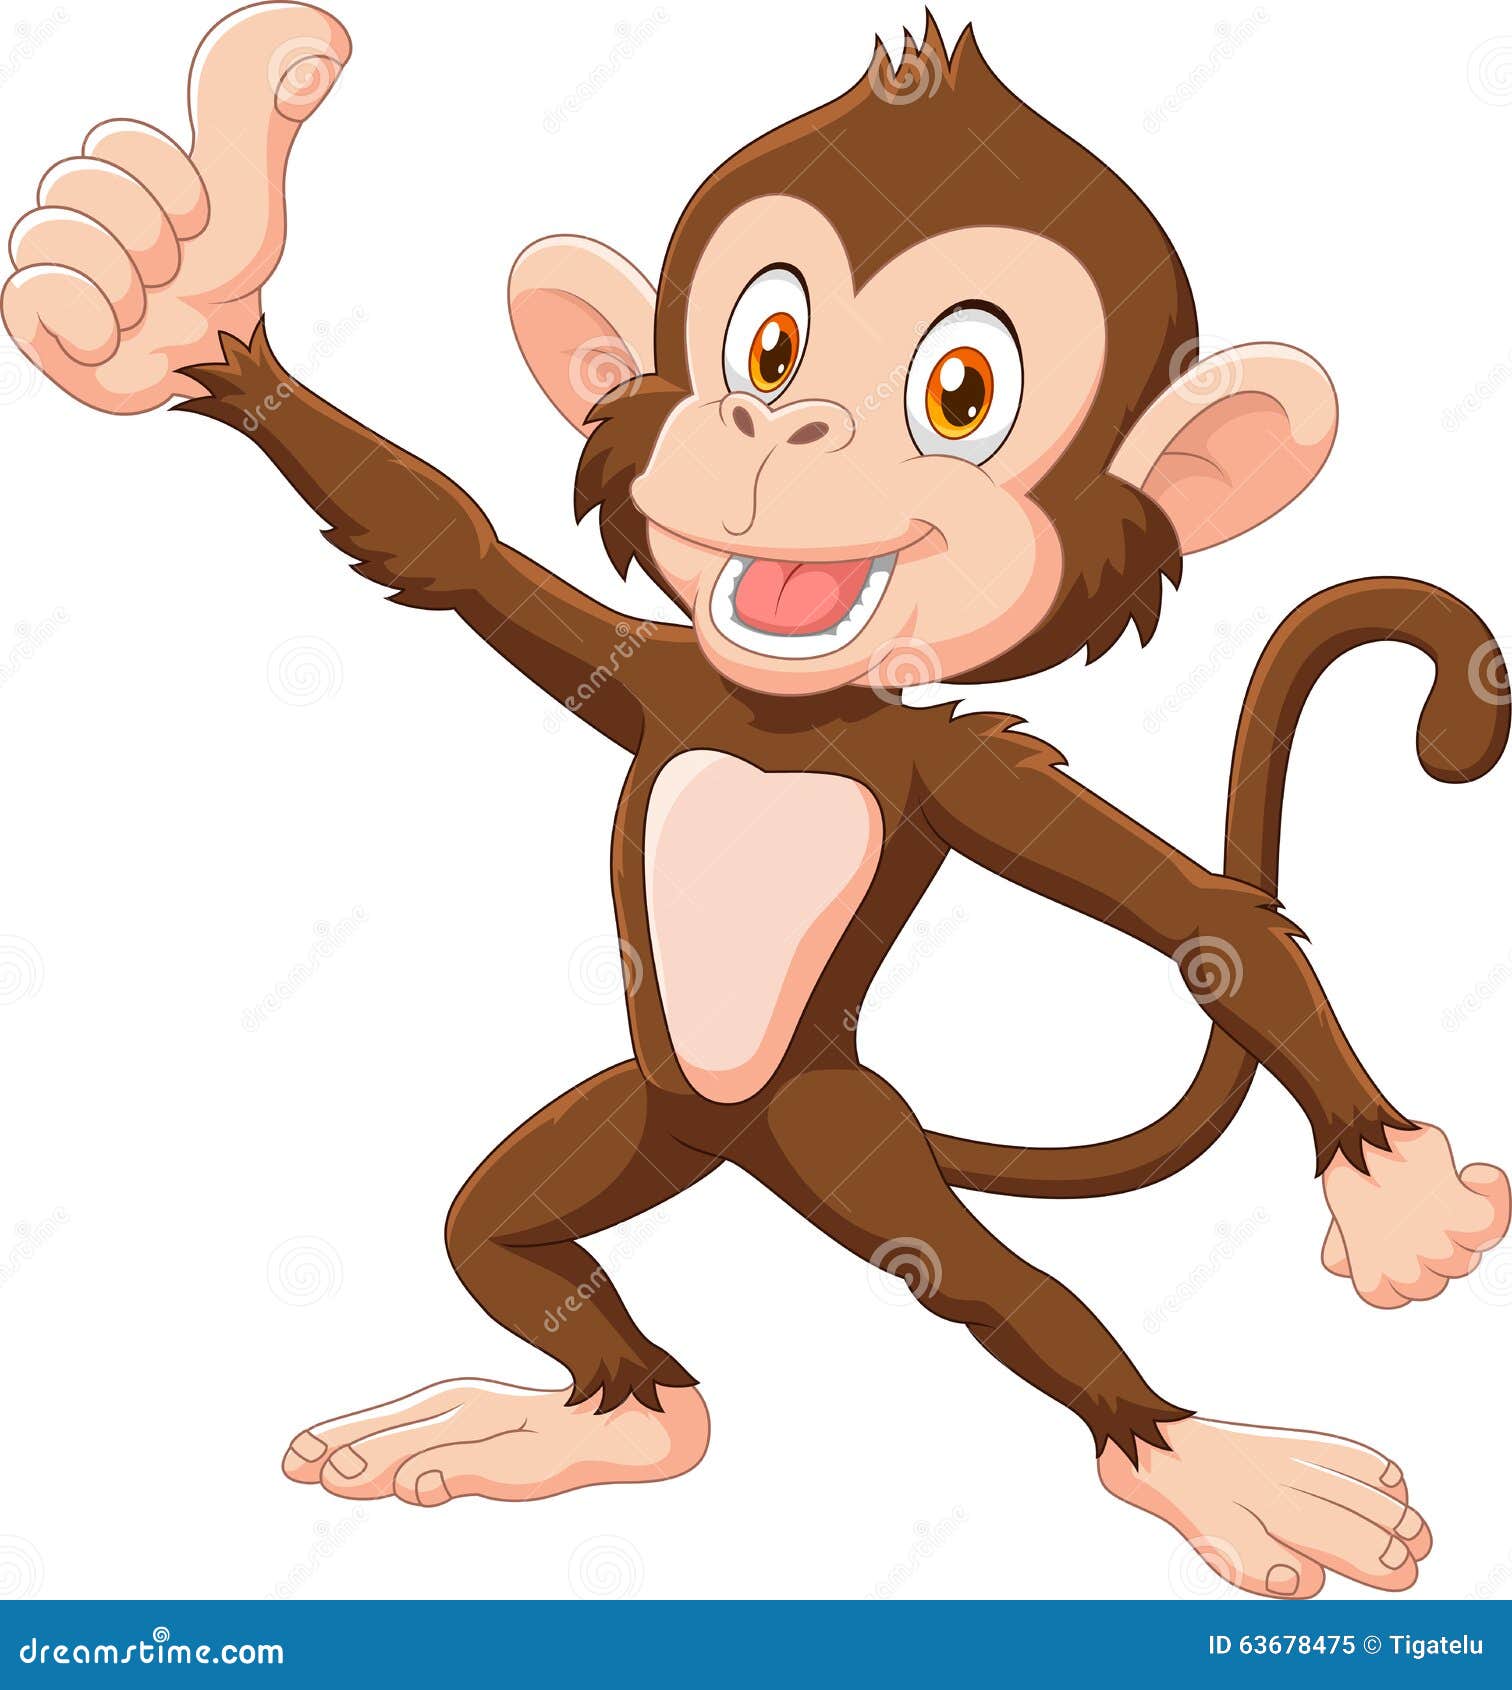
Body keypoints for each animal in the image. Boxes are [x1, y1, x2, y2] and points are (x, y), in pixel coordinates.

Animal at [5, 5, 1509, 1600]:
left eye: (962, 390)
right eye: (769, 344)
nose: (779, 424)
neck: (788, 718)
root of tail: (737, 1134)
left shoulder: (952, 772)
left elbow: (1195, 920)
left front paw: (1389, 1177)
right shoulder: (655, 674)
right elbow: (448, 548)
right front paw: (192, 320)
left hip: (837, 1129)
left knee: (994, 1281)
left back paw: (1189, 1453)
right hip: (645, 1120)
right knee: (497, 1234)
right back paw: (603, 1418)